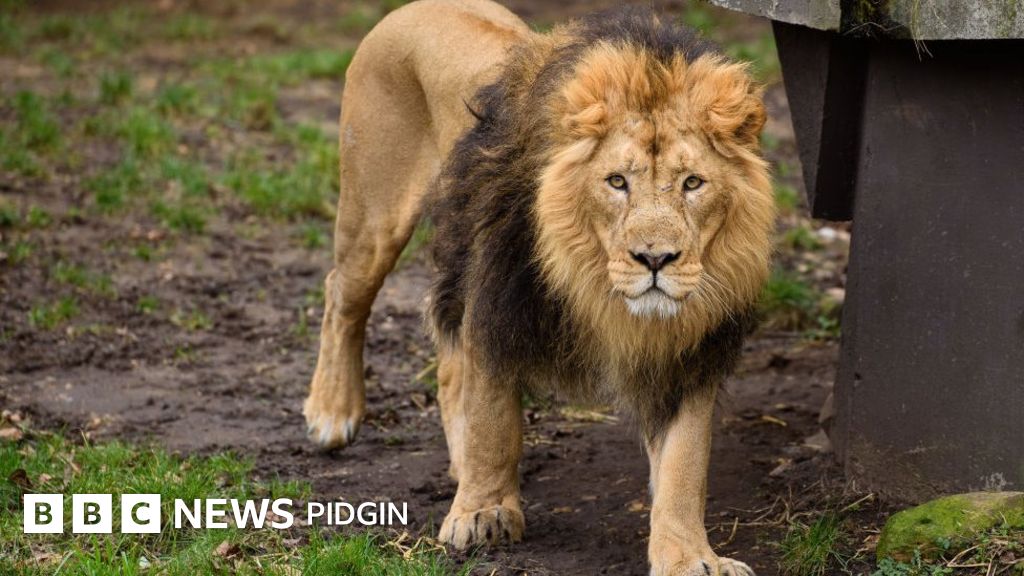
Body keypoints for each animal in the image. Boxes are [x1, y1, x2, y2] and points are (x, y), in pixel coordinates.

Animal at [303, 1, 774, 574]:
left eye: (693, 183)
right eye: (617, 181)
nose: (655, 259)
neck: (594, 284)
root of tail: (418, 7)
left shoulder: (691, 353)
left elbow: (685, 464)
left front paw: (689, 556)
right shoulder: (496, 300)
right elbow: (492, 420)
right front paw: (482, 514)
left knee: (447, 365)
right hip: (373, 214)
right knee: (341, 297)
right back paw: (332, 413)